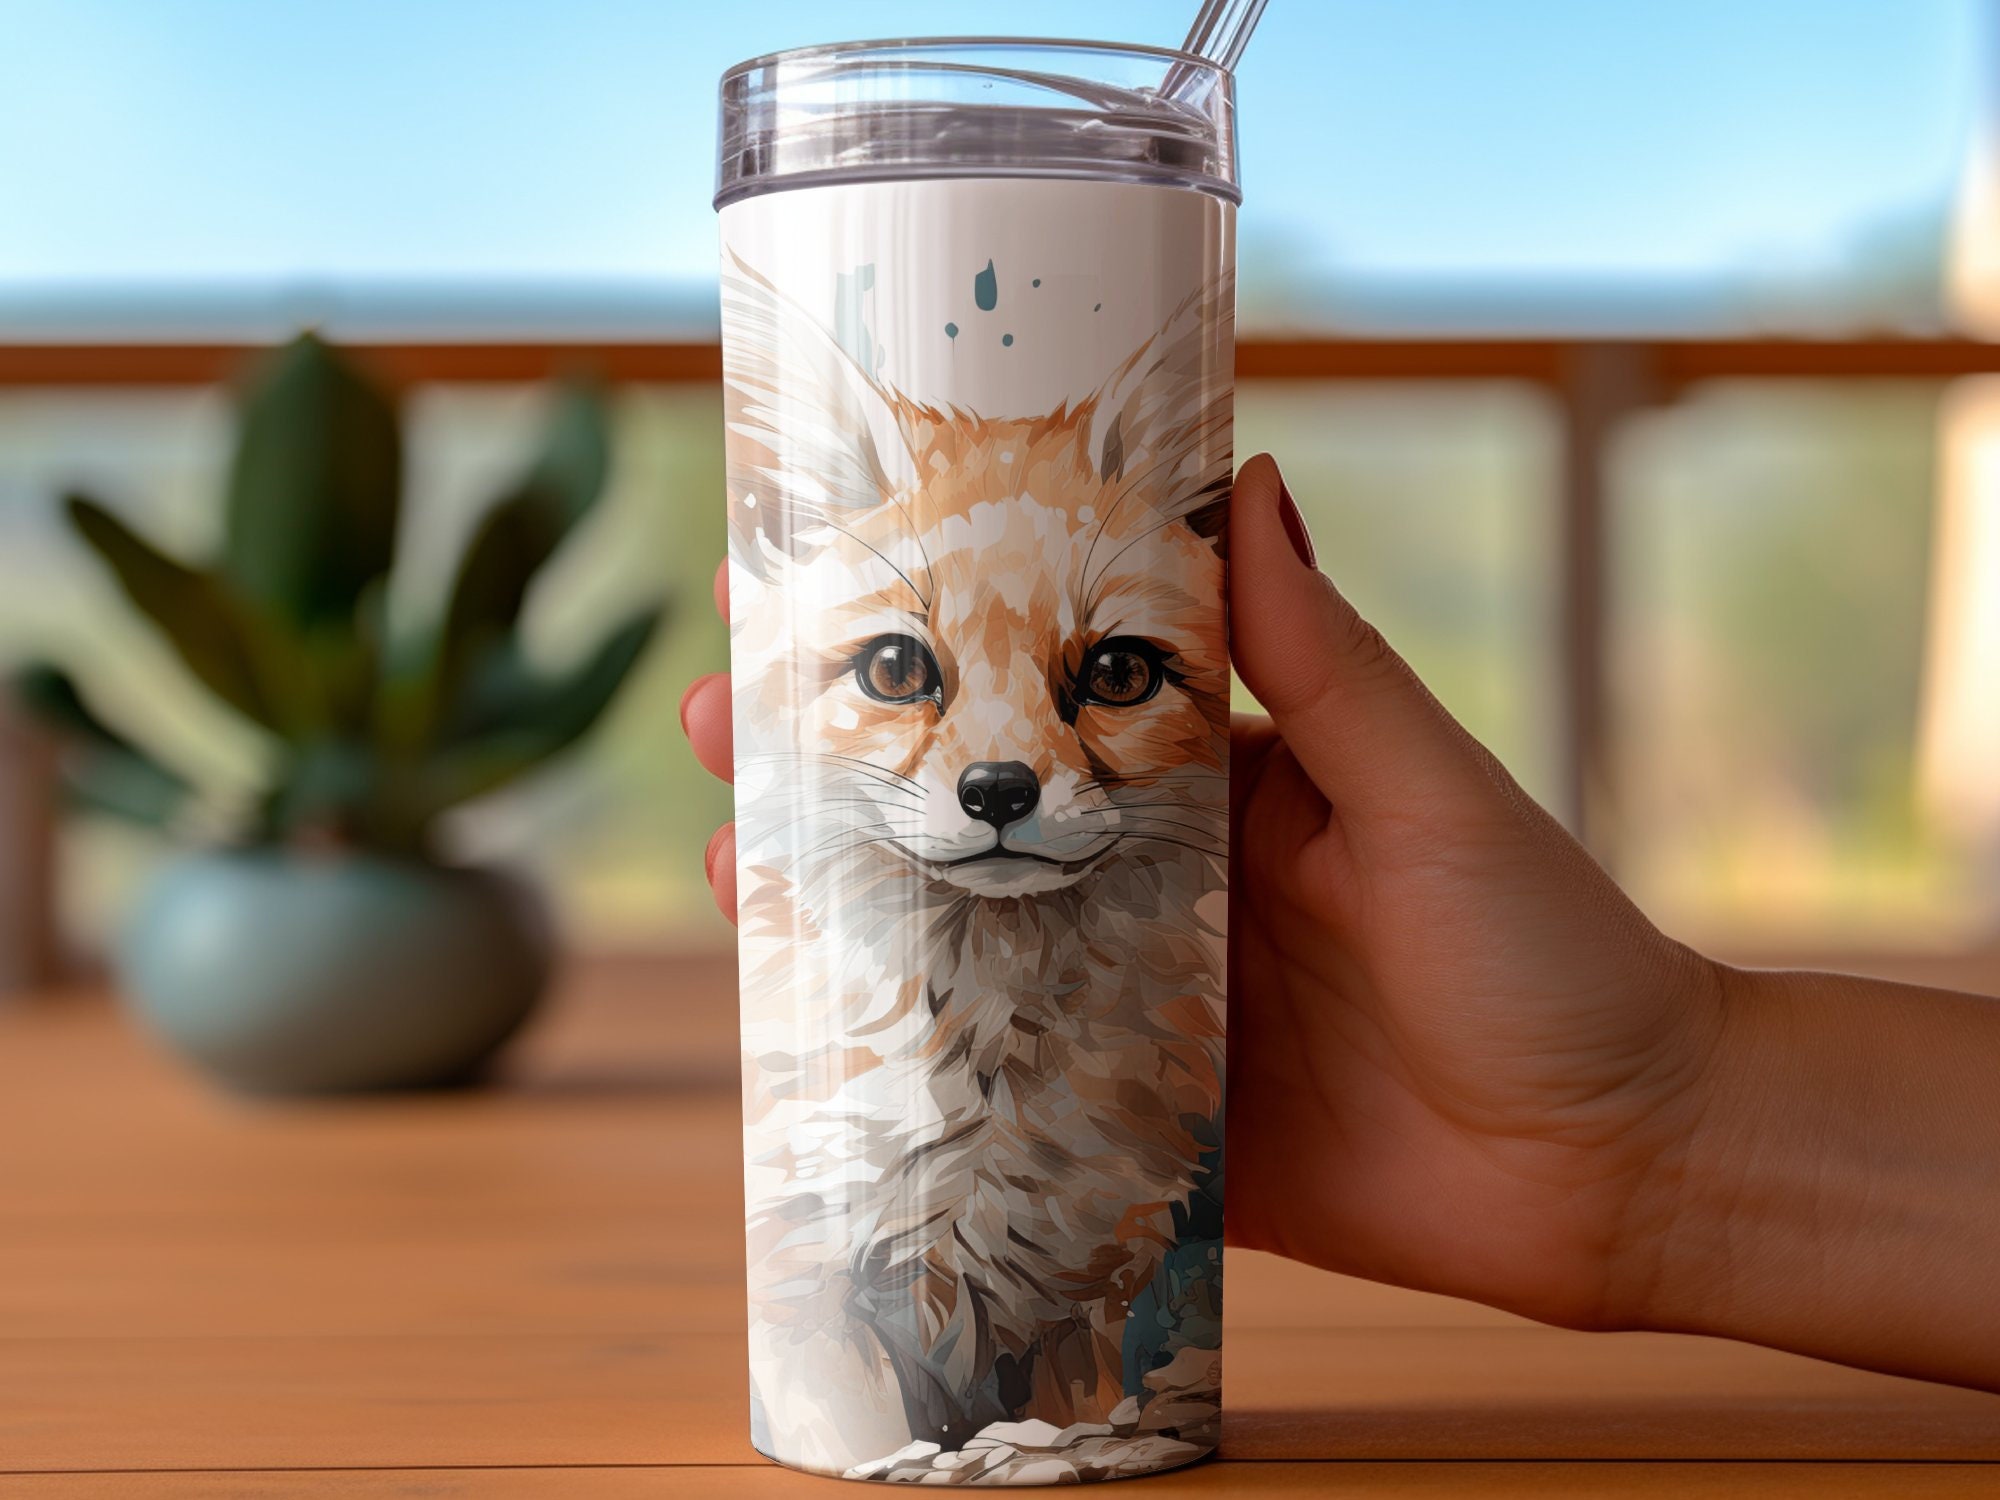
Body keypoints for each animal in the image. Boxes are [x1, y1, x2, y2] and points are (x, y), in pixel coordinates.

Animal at [722, 250, 1231, 1475]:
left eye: (1119, 674)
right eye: (896, 669)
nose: (998, 792)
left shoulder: (1074, 1301)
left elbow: (1076, 1423)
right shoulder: (812, 1288)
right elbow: (869, 1438)